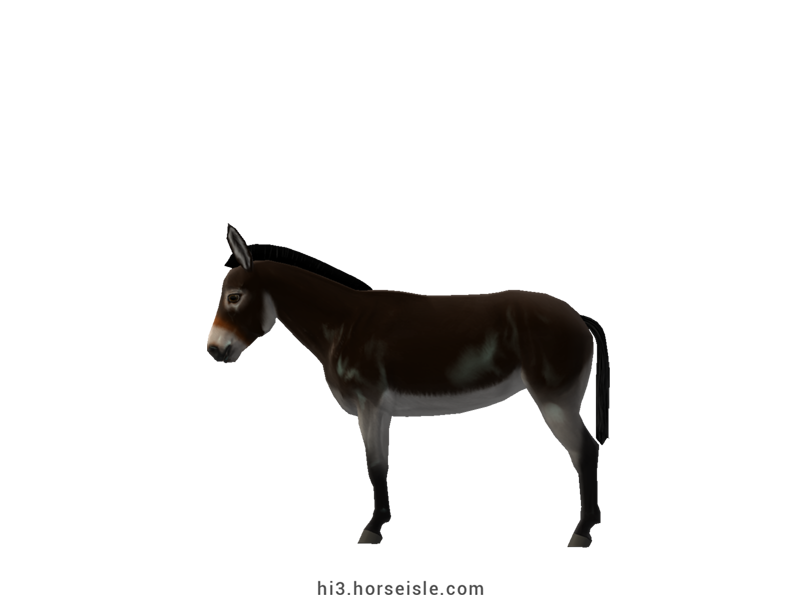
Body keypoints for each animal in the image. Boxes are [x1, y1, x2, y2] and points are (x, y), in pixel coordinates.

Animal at [207, 227, 609, 538]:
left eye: (234, 296)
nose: (214, 350)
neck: (343, 324)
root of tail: (578, 320)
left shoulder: (369, 400)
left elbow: (374, 460)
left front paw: (375, 525)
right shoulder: (378, 405)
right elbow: (378, 458)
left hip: (557, 397)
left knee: (585, 453)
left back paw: (583, 530)